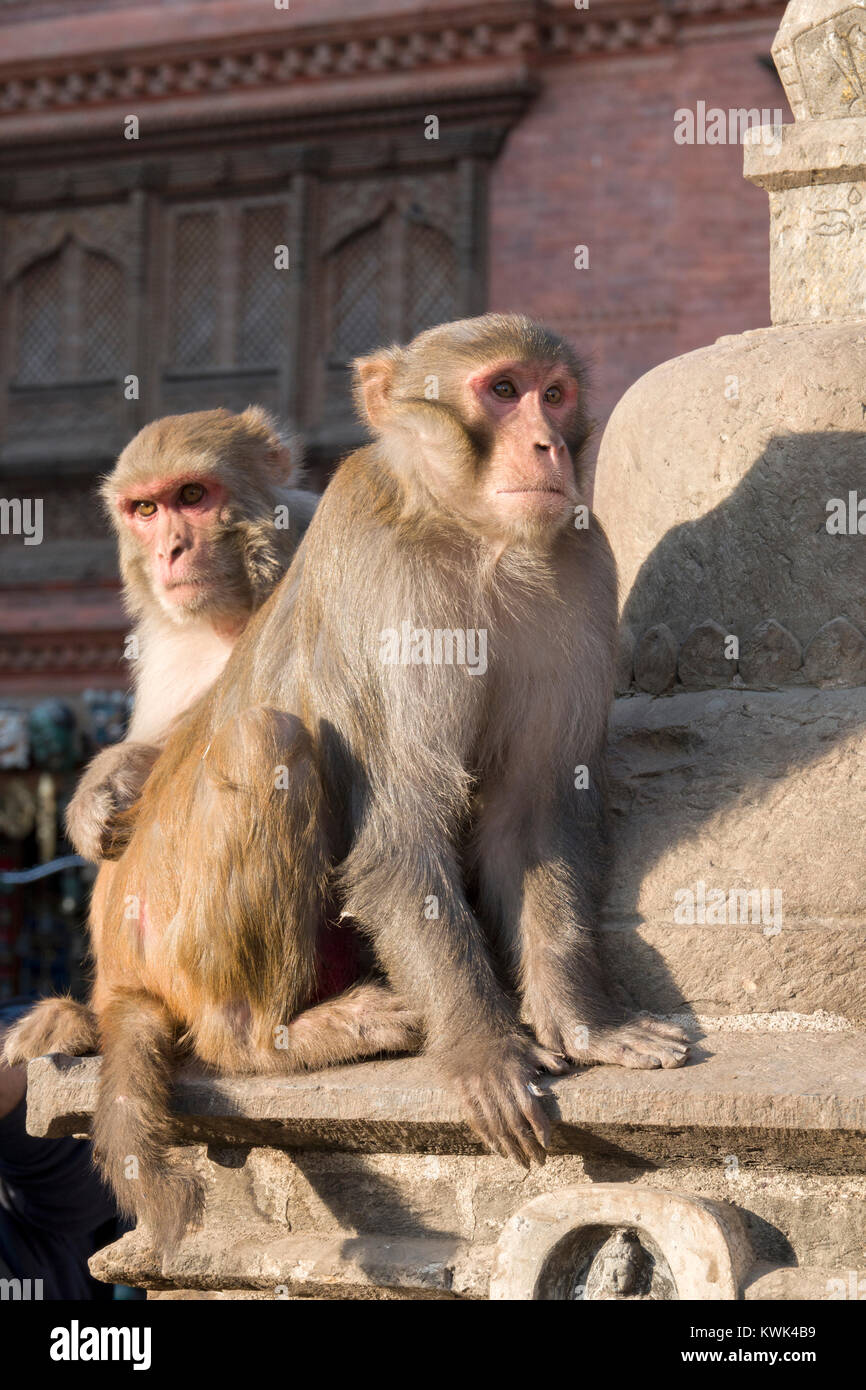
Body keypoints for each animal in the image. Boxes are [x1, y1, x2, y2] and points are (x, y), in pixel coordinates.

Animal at [4, 406, 318, 1068]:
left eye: (193, 496)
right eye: (145, 509)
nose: (170, 550)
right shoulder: (164, 639)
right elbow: (154, 747)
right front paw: (96, 800)